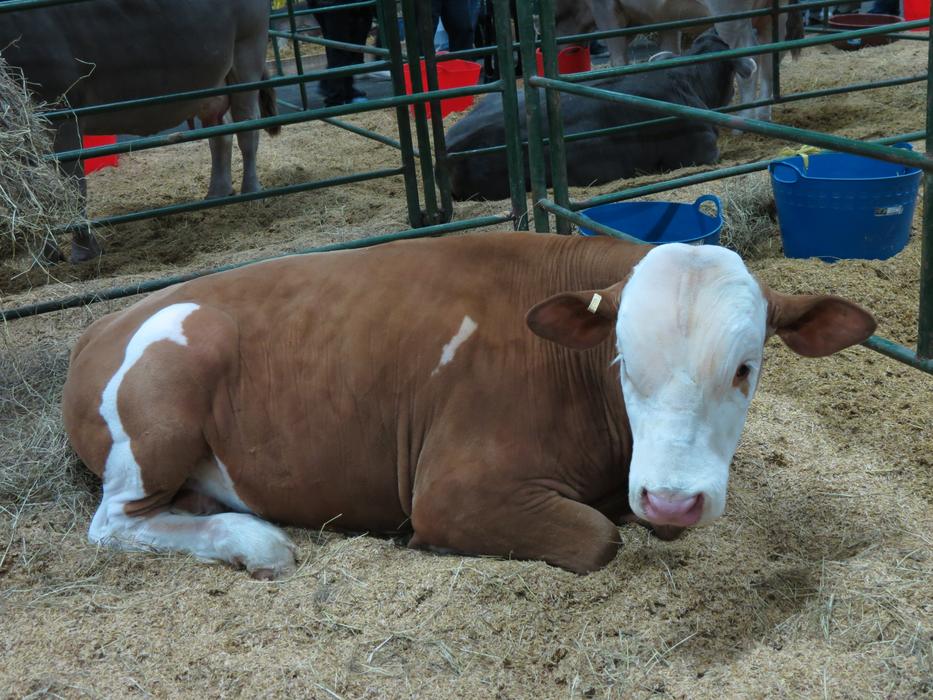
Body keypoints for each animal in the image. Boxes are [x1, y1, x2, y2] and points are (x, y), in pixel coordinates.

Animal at [0, 0, 280, 263]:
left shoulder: (63, 115)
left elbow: (73, 186)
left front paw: (83, 251)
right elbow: (33, 193)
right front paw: (44, 257)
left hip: (246, 55)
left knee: (247, 130)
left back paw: (252, 194)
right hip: (212, 88)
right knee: (220, 134)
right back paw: (217, 194)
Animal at [61, 232, 876, 578]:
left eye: (745, 368)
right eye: (623, 361)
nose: (672, 500)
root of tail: (101, 321)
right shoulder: (453, 491)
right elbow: (596, 539)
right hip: (166, 391)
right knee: (114, 524)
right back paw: (253, 542)